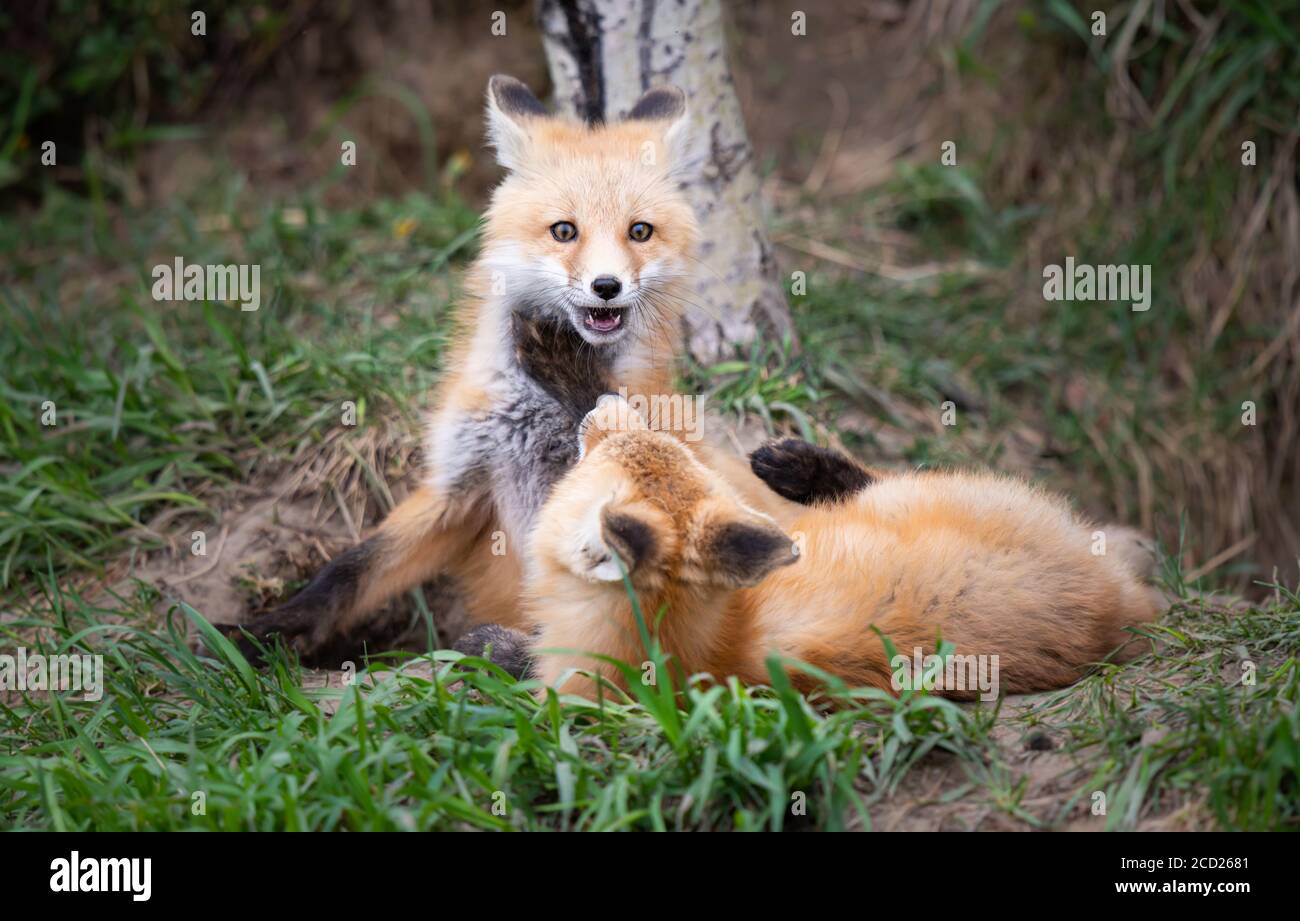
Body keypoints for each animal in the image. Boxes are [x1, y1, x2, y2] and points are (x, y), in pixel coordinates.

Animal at [229, 76, 789, 661]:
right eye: (564, 231)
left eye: (640, 231)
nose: (606, 286)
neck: (532, 416)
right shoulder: (456, 487)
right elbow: (351, 570)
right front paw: (267, 635)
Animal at [463, 395, 1162, 700]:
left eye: (609, 449)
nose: (609, 398)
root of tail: (1123, 609)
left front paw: (488, 648)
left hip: (898, 500)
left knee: (871, 480)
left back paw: (796, 465)